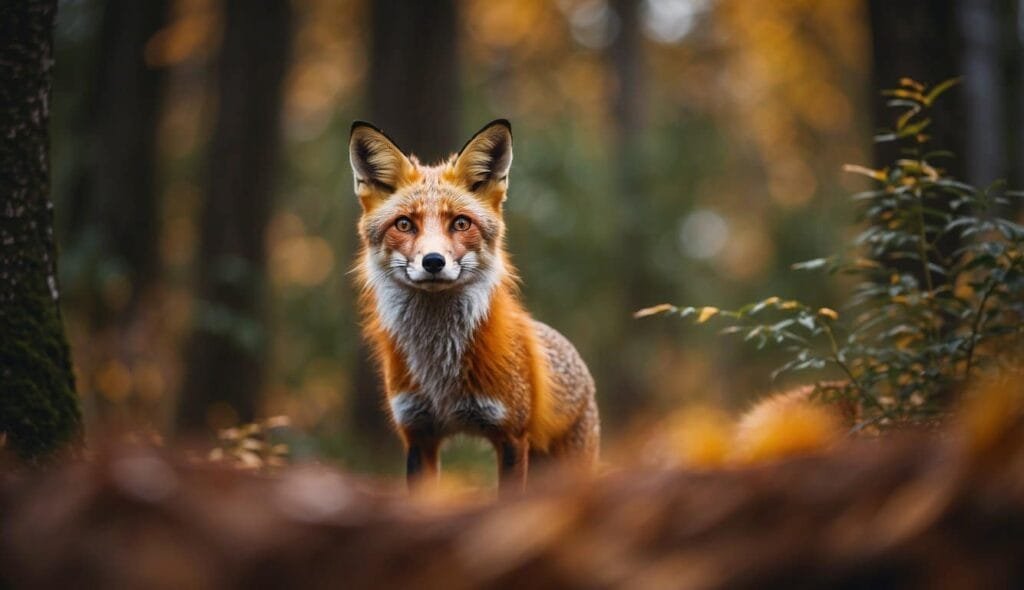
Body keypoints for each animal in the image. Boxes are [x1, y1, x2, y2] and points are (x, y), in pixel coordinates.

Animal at [349, 119, 600, 493]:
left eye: (461, 223)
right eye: (404, 224)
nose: (433, 261)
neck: (440, 376)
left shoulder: (511, 435)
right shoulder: (419, 433)